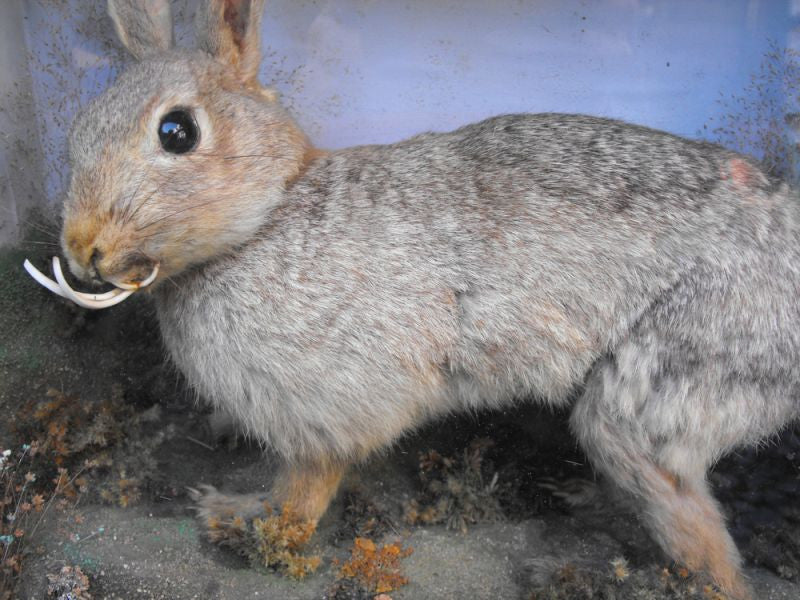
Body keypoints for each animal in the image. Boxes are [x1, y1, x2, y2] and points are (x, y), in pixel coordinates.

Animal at [56, 1, 800, 597]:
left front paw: (235, 519)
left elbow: (303, 493)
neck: (266, 218)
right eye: (79, 126)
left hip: (659, 388)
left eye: (176, 132)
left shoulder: (330, 408)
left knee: (700, 532)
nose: (81, 246)